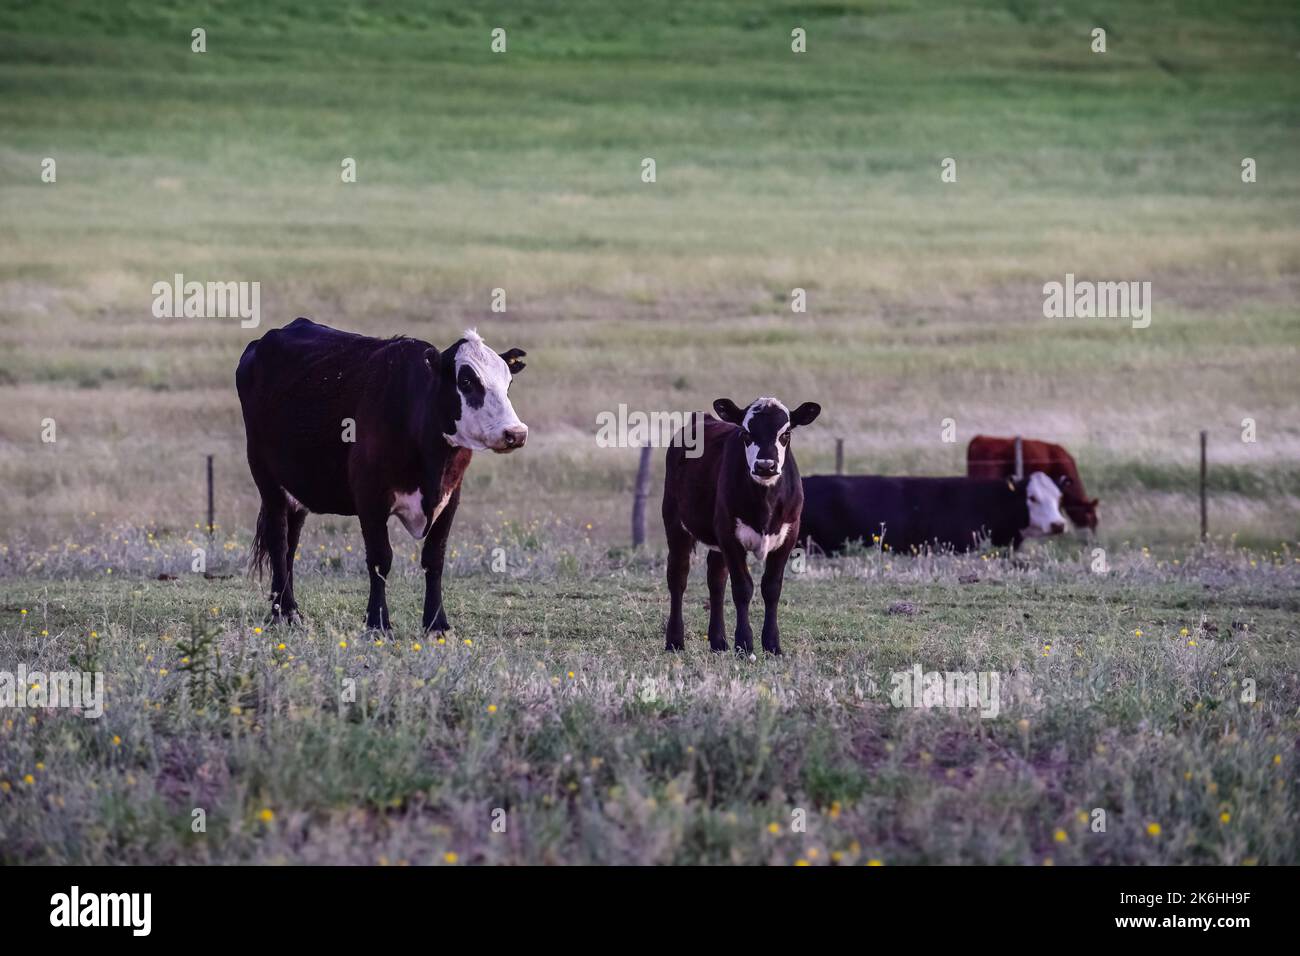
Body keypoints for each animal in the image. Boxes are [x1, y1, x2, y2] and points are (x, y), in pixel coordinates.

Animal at [236, 318, 529, 632]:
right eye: (466, 381)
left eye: (508, 383)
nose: (515, 433)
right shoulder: (370, 497)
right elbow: (380, 559)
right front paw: (378, 622)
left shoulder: (450, 496)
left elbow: (434, 558)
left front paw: (436, 623)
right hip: (266, 479)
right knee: (278, 542)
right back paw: (286, 612)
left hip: (297, 487)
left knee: (290, 544)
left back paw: (284, 609)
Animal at [662, 397, 821, 656]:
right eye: (746, 433)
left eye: (786, 433)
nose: (765, 465)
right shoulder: (730, 536)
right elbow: (742, 588)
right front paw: (744, 643)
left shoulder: (788, 536)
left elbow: (771, 587)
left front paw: (772, 644)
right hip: (675, 523)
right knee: (678, 576)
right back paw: (675, 641)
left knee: (716, 580)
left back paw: (718, 642)